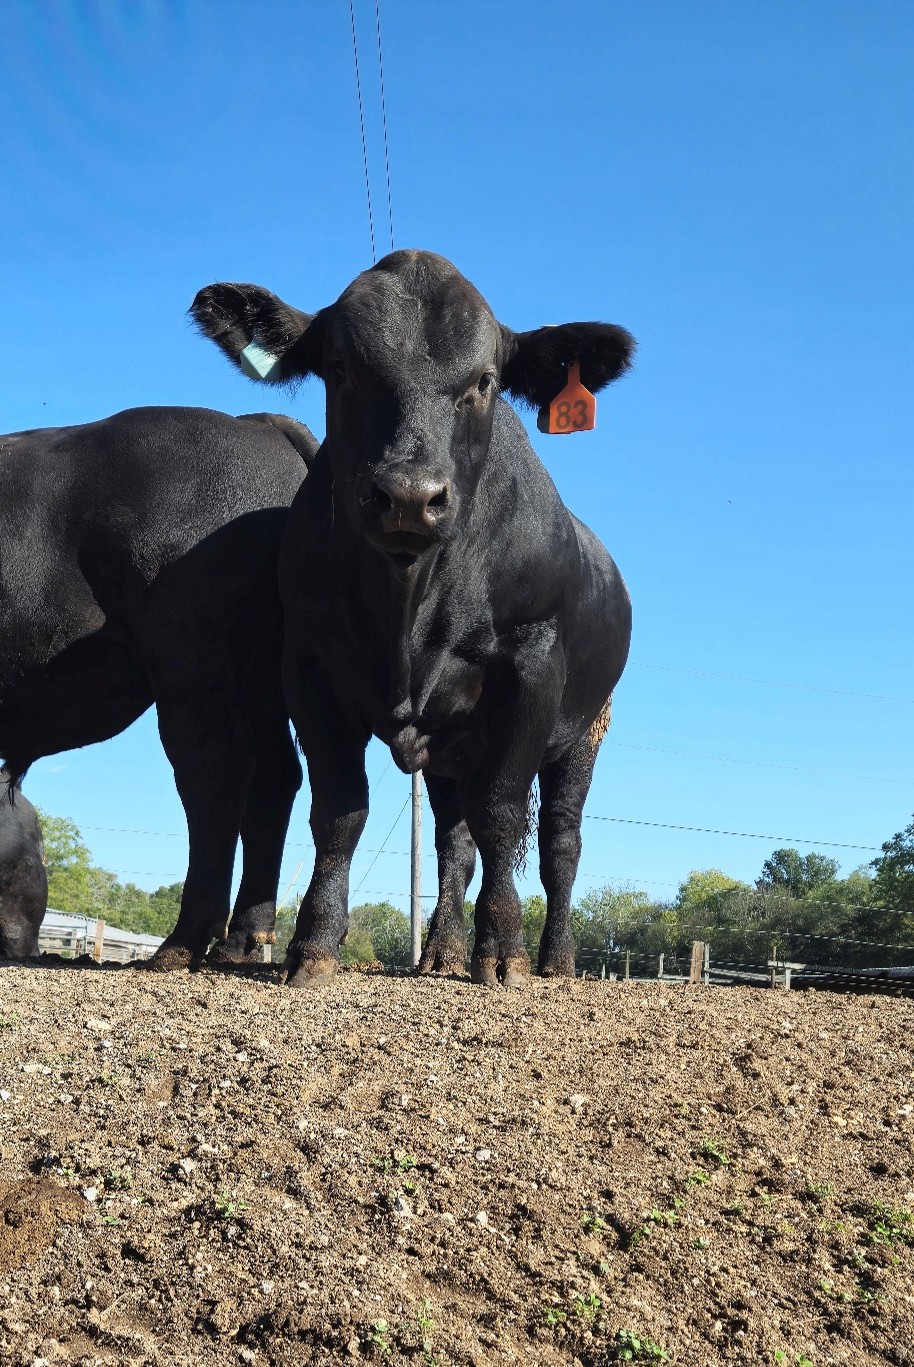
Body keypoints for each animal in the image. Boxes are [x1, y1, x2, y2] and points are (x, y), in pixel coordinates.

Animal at [192, 250, 634, 988]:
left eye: (485, 380)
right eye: (340, 367)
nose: (408, 495)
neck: (410, 604)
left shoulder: (531, 666)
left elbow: (502, 812)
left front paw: (505, 948)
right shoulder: (308, 667)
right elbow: (340, 809)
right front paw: (315, 941)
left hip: (584, 732)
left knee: (560, 841)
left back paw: (555, 956)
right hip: (453, 750)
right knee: (455, 839)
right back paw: (443, 949)